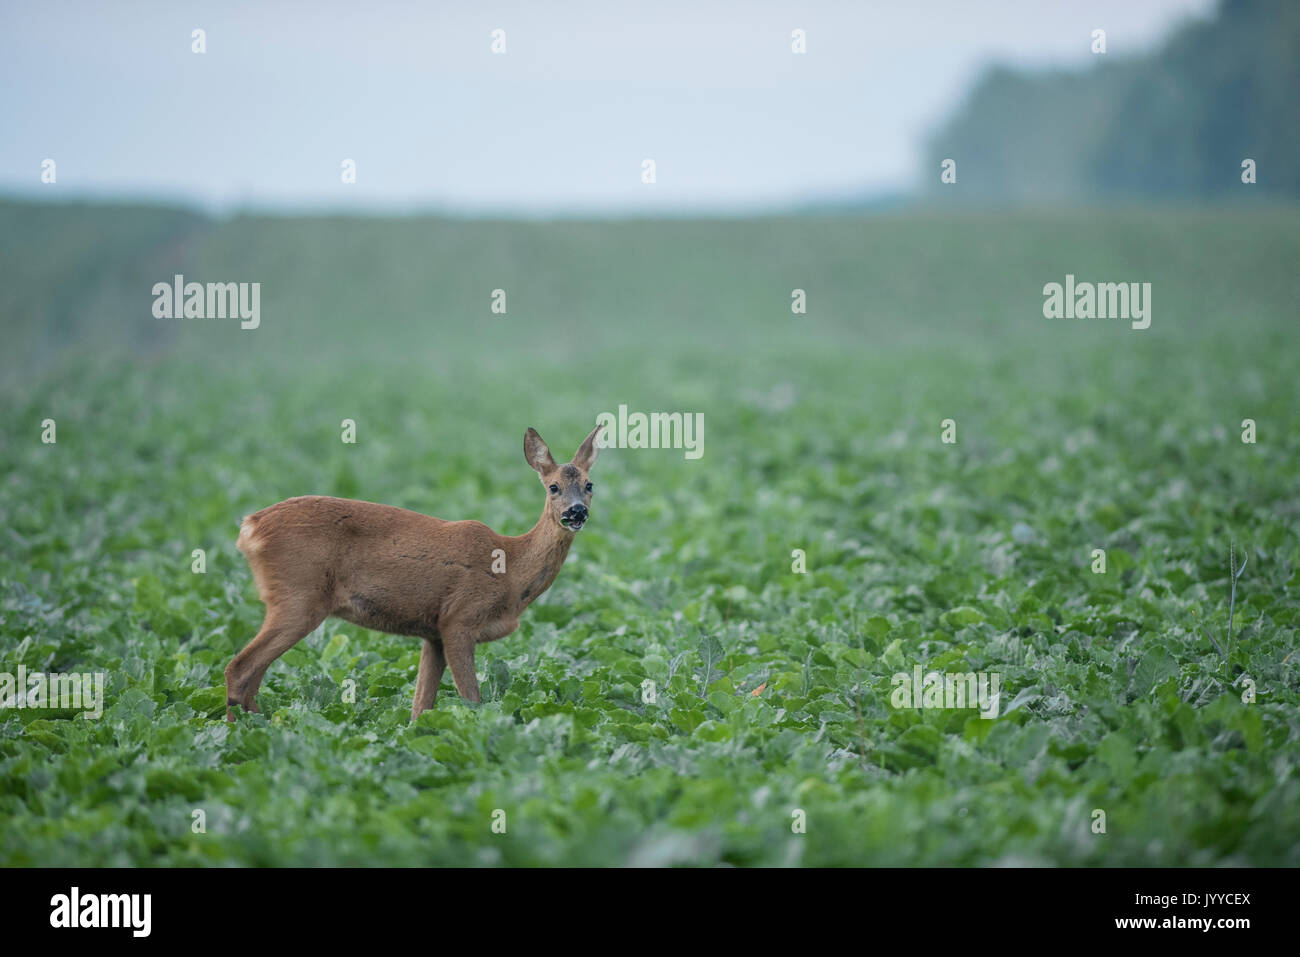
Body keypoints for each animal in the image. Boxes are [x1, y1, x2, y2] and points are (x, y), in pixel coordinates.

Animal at [225, 424, 602, 722]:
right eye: (553, 486)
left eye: (589, 485)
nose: (576, 512)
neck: (510, 573)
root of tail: (249, 527)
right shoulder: (459, 618)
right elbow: (472, 699)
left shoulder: (433, 633)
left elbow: (421, 707)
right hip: (298, 596)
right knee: (239, 668)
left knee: (251, 674)